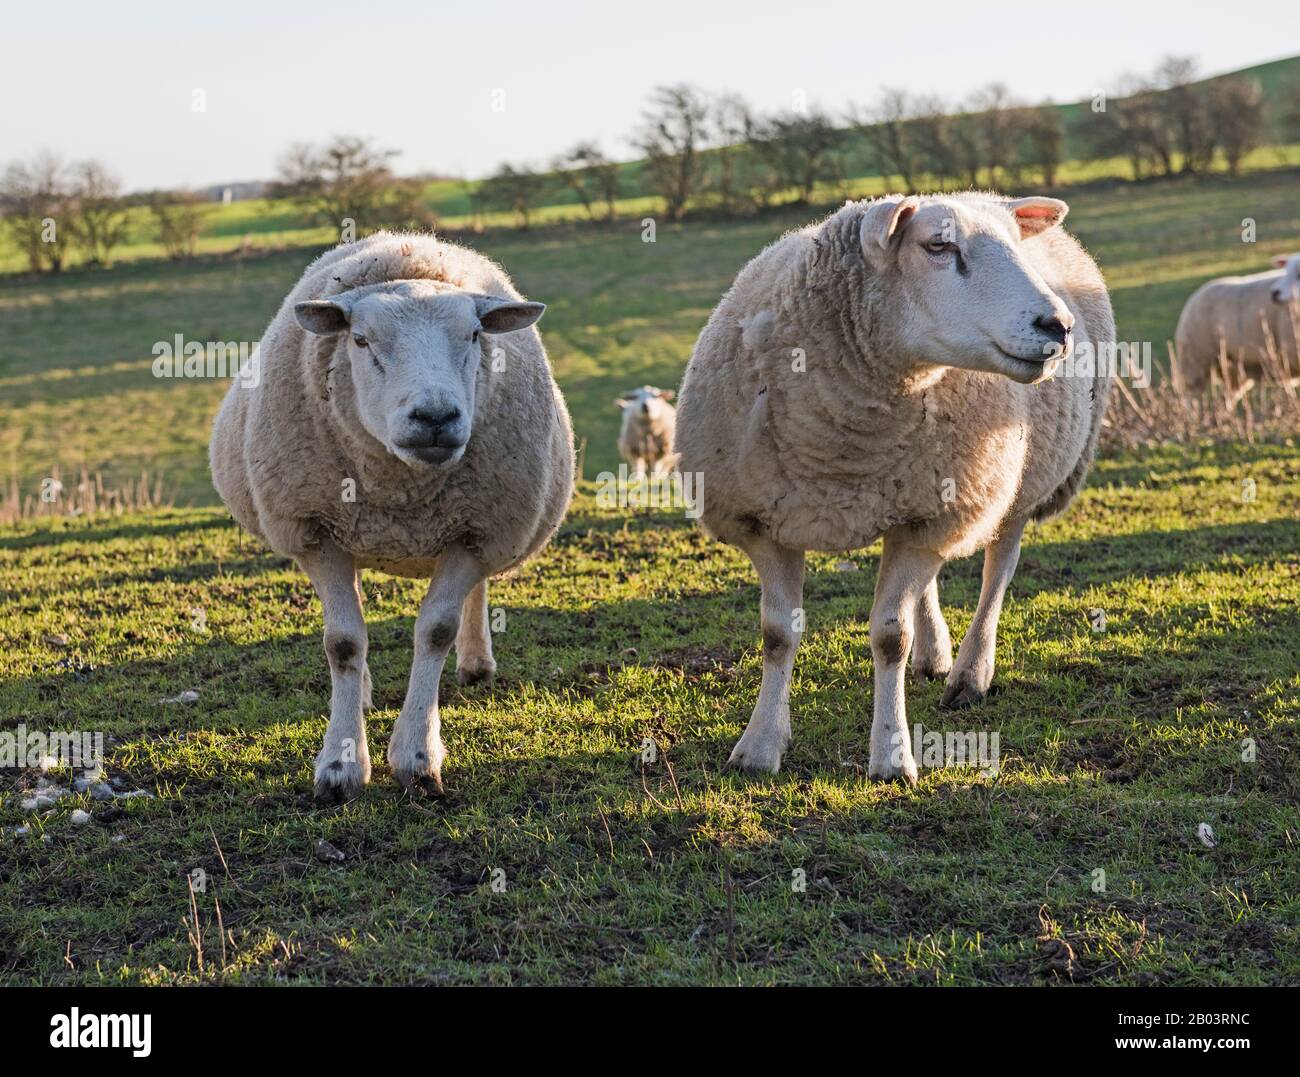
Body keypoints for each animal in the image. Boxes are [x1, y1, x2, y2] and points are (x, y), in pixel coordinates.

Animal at [210, 232, 574, 801]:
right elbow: (342, 641)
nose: (435, 417)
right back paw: (360, 692)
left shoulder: (477, 529)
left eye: (473, 335)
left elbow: (437, 631)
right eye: (360, 340)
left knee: (476, 595)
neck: (402, 490)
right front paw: (340, 764)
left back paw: (476, 663)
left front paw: (417, 757)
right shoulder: (317, 532)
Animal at [675, 192, 1113, 782]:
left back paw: (970, 672)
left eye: (1014, 245)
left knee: (999, 565)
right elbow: (777, 634)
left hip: (1013, 483)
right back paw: (934, 655)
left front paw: (891, 754)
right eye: (938, 246)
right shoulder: (766, 522)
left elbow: (889, 638)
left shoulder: (932, 515)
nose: (1057, 325)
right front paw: (759, 745)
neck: (844, 443)